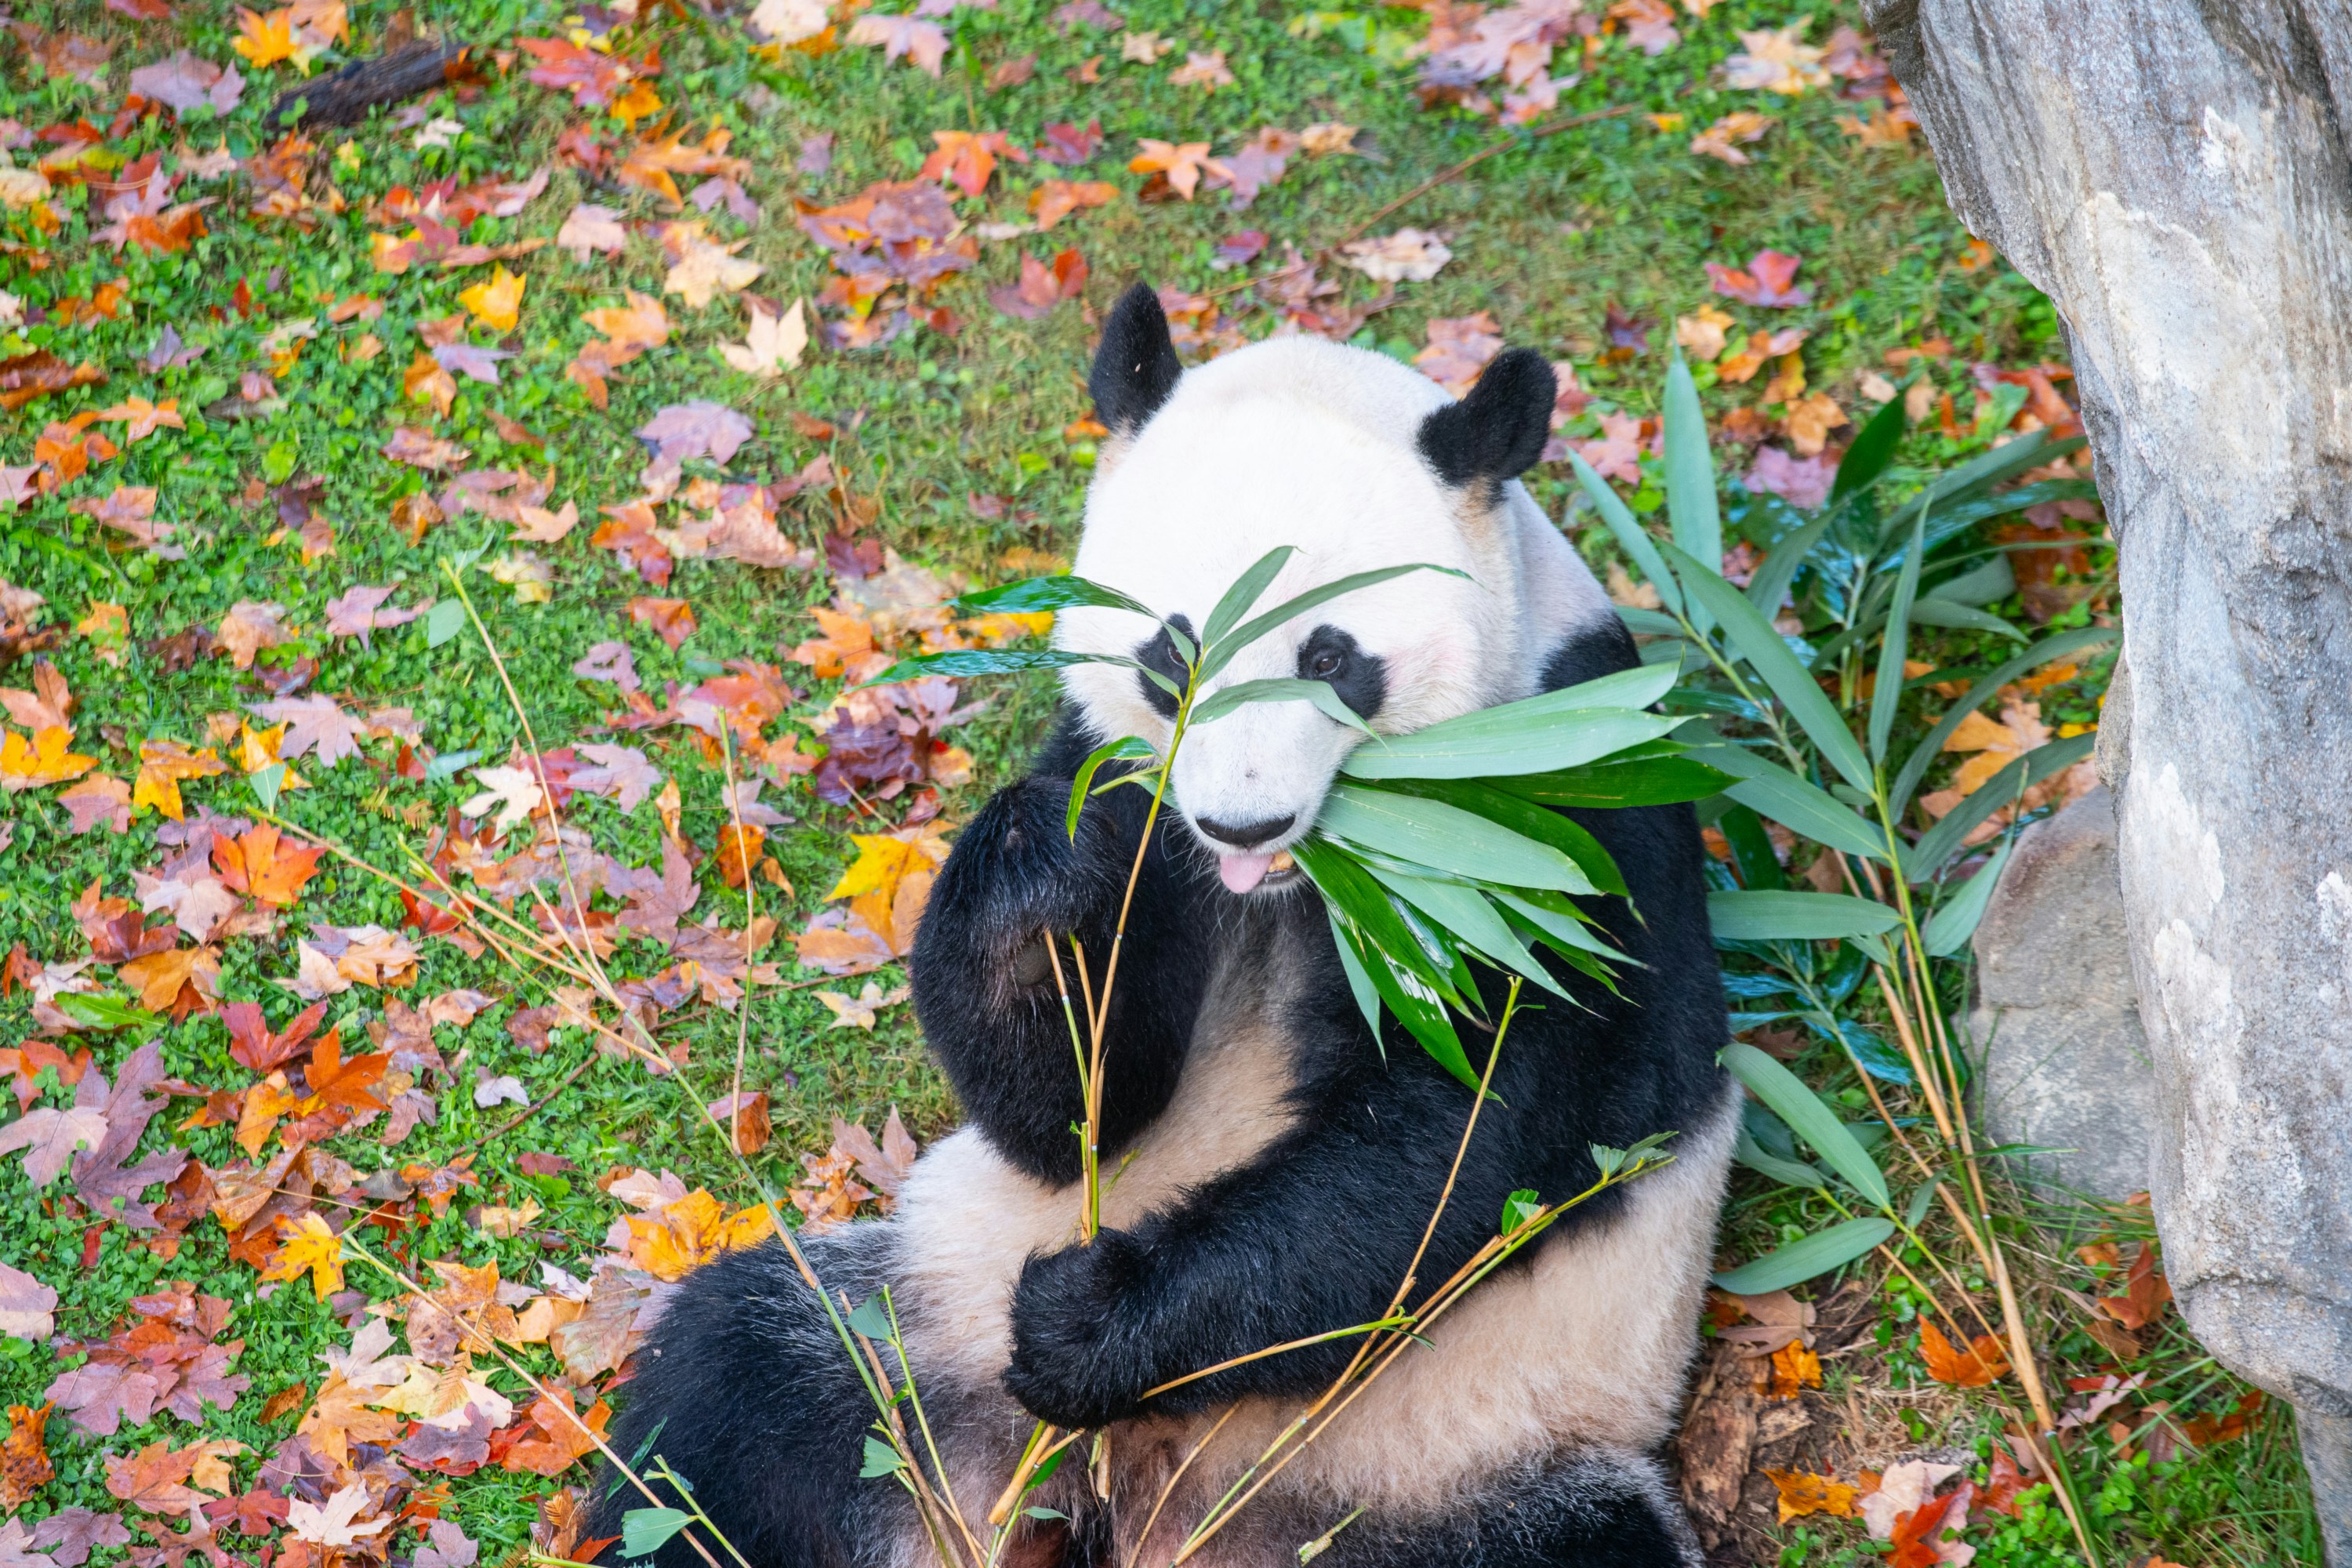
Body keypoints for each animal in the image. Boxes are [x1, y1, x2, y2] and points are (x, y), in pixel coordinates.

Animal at [589, 285, 1737, 1568]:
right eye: (1176, 648)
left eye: (1331, 657)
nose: (1245, 820)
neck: (1296, 887)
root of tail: (1134, 1505)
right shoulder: (1124, 780)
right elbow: (1079, 1108)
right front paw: (1036, 880)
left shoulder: (1557, 794)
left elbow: (1471, 1139)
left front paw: (1093, 1324)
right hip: (929, 1343)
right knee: (747, 1395)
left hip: (1444, 1468)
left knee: (1573, 1540)